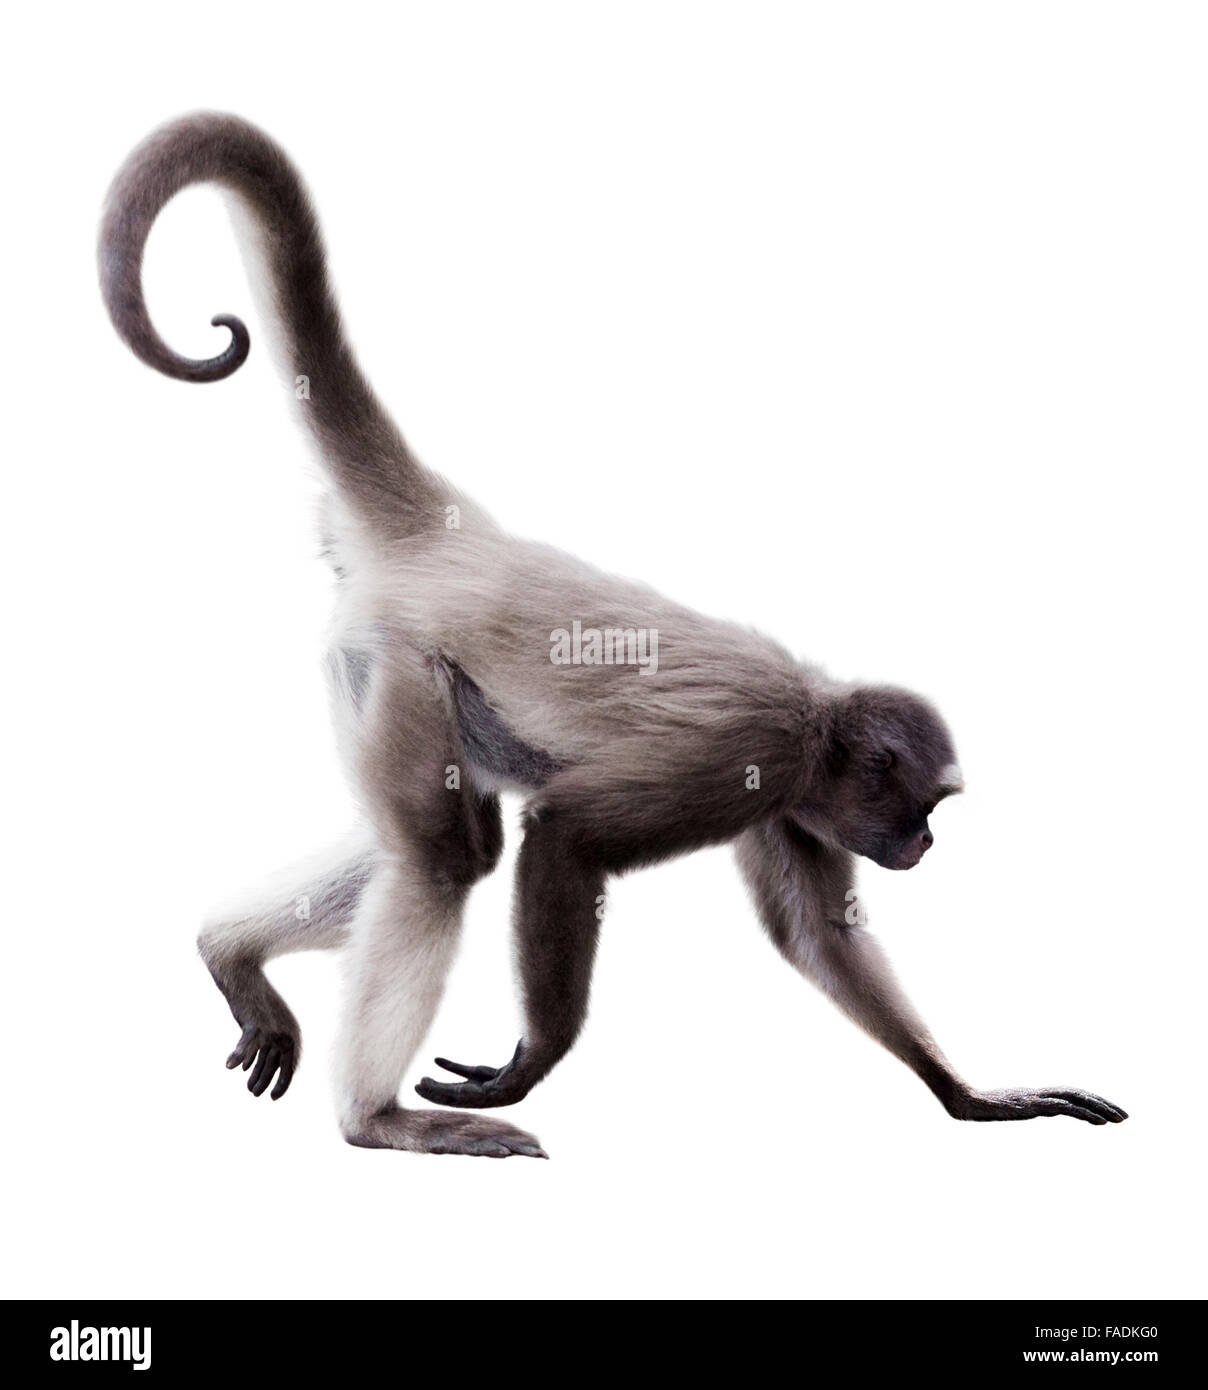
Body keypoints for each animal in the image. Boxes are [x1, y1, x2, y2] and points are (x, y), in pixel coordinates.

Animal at [99, 113, 1126, 1158]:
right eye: (928, 804)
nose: (925, 844)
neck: (815, 714)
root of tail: (458, 537)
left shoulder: (788, 796)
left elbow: (818, 940)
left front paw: (973, 1095)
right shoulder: (749, 757)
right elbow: (565, 835)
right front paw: (529, 1065)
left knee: (444, 839)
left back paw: (230, 953)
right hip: (402, 663)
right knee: (447, 858)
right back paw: (376, 1119)